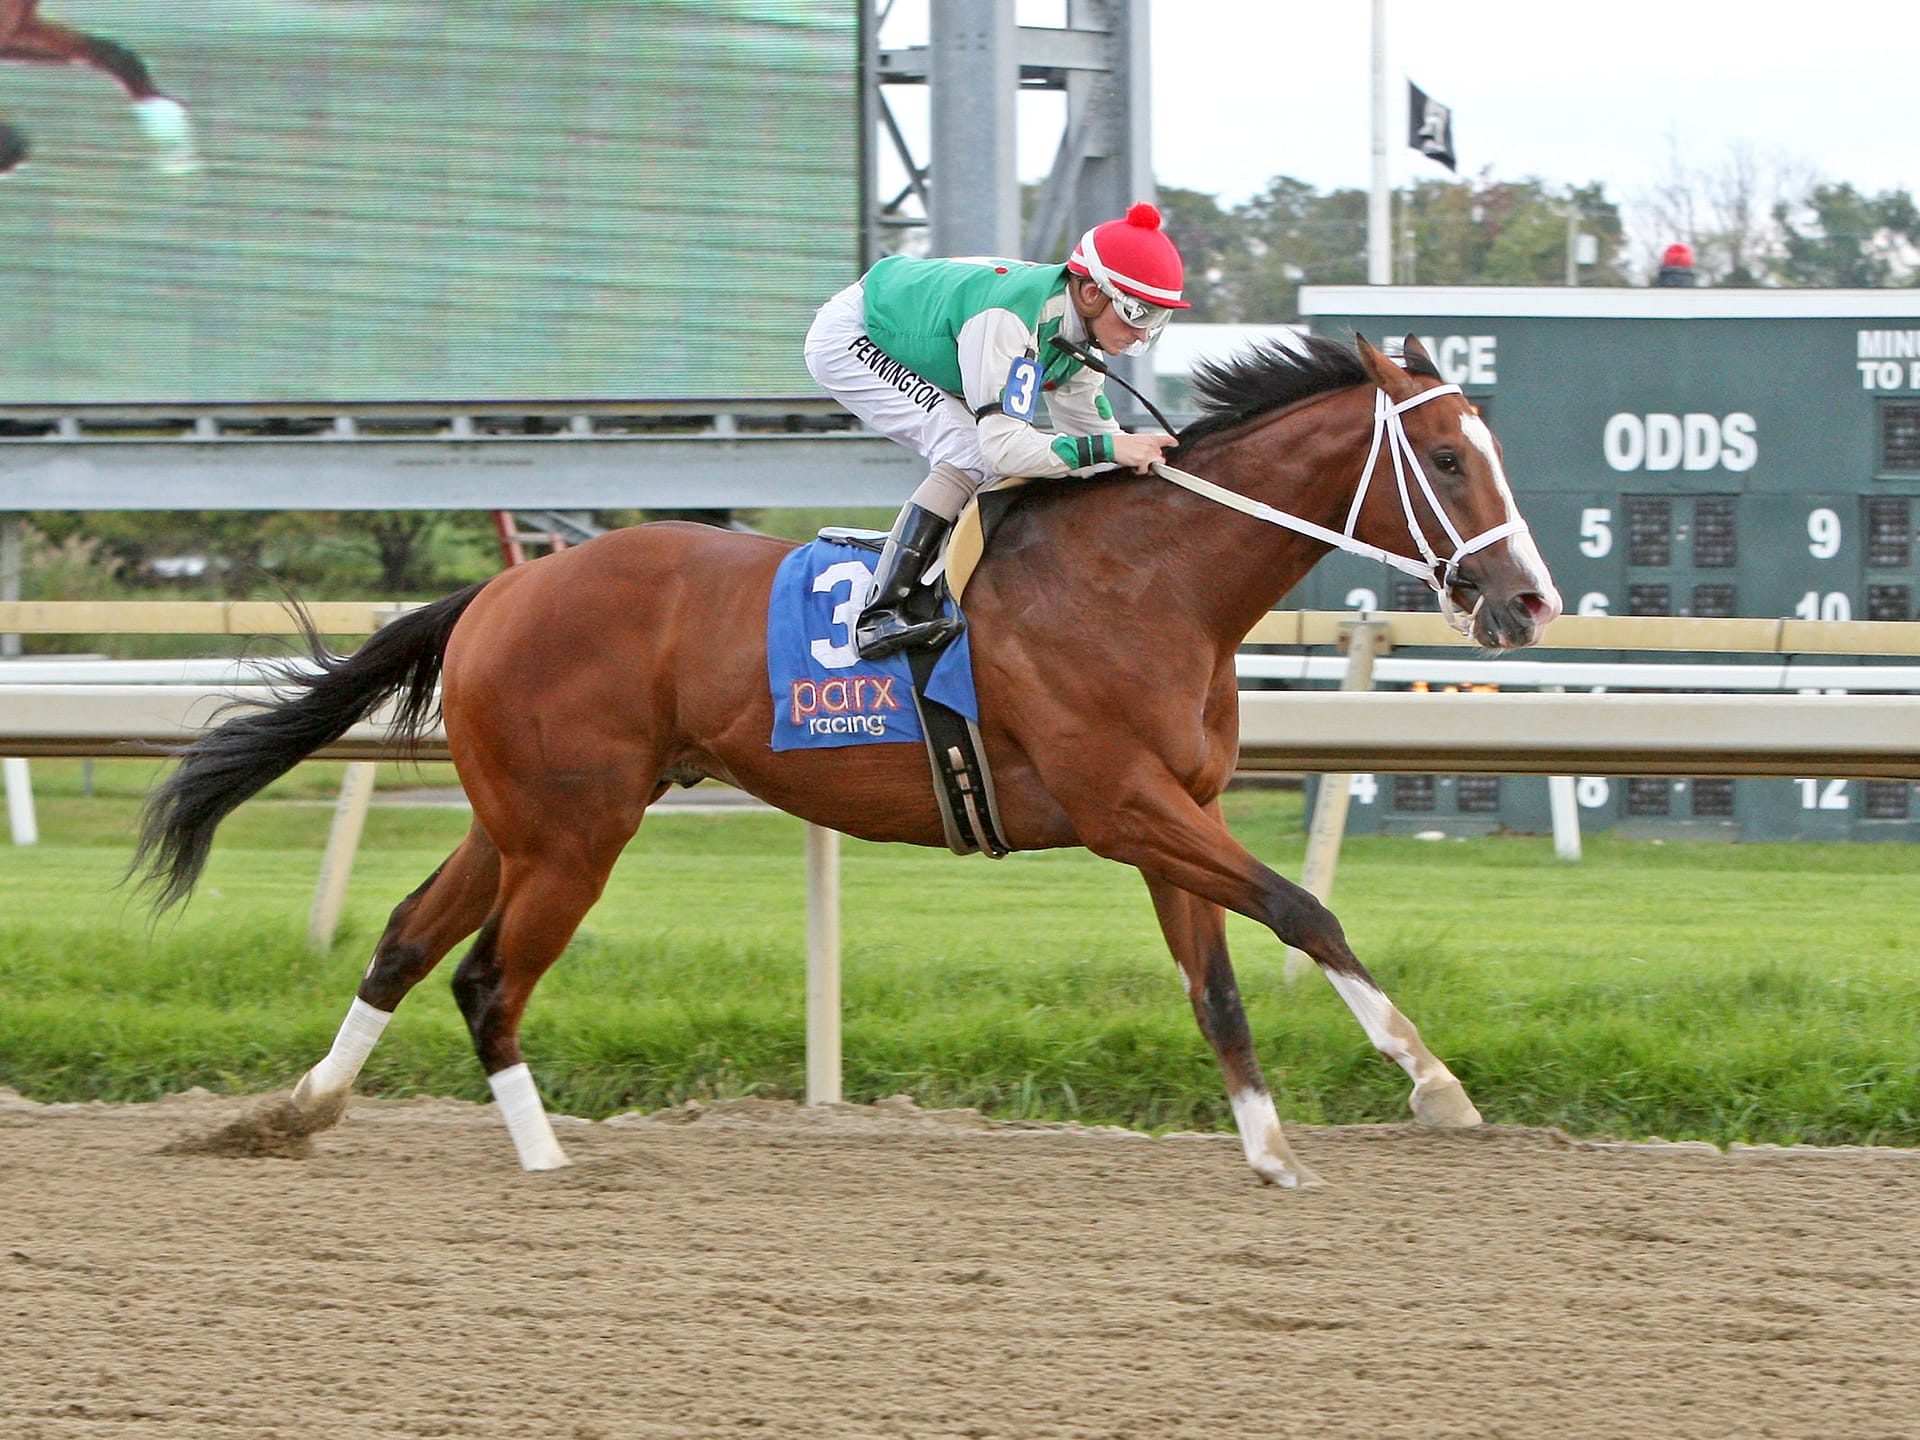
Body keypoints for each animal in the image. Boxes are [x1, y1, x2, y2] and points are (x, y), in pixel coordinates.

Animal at [132, 334, 1562, 1190]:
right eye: (1447, 457)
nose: (1530, 603)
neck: (1148, 584)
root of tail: (496, 591)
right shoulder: (1125, 805)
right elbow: (1303, 908)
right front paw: (1436, 1085)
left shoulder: (1177, 811)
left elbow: (1217, 982)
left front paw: (1272, 1154)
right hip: (576, 834)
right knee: (486, 979)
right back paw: (546, 1163)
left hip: (521, 817)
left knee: (403, 940)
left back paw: (294, 1111)